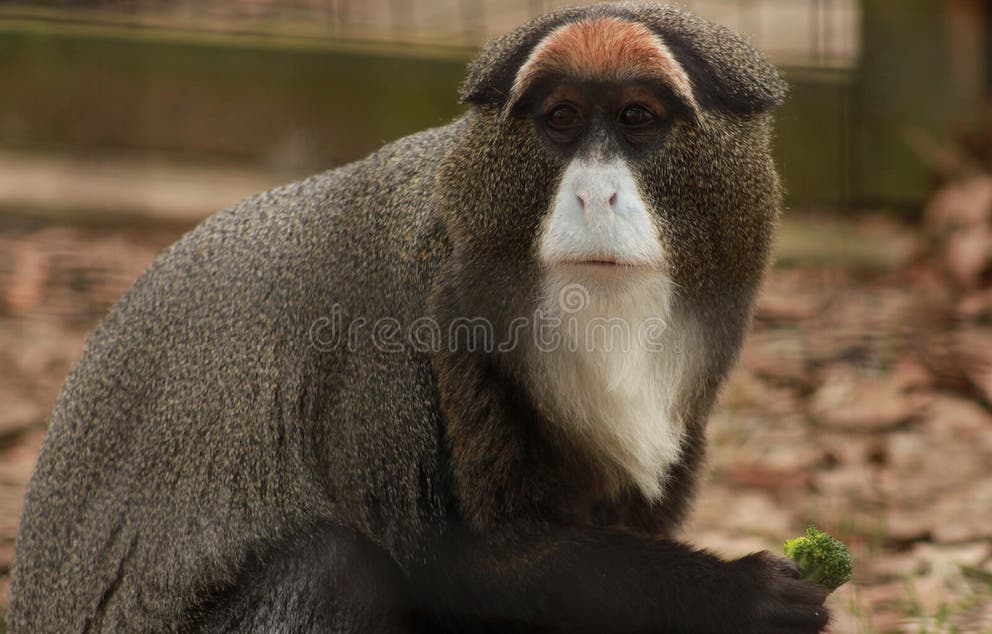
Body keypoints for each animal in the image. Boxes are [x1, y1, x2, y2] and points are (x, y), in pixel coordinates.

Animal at [7, 3, 830, 633]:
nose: (594, 194)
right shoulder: (404, 311)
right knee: (334, 567)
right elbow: (455, 565)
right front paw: (743, 595)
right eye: (561, 119)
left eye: (637, 118)